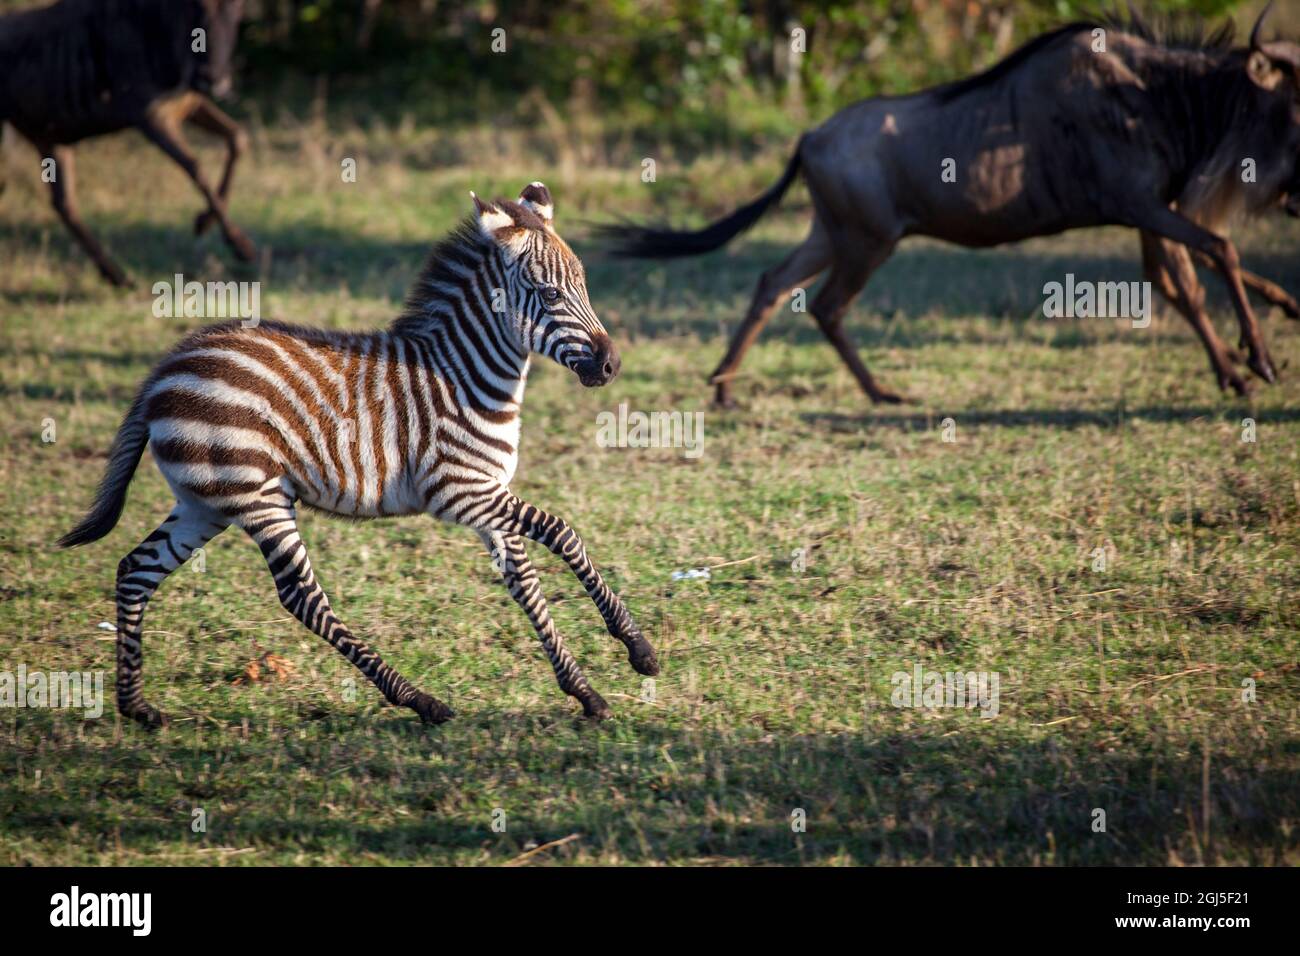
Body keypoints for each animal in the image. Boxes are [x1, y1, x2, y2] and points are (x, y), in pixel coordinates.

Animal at [59, 183, 660, 726]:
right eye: (552, 295)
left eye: (584, 286)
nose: (610, 366)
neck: (465, 374)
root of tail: (166, 366)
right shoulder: (459, 493)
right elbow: (564, 534)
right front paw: (636, 647)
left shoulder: (487, 494)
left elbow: (527, 585)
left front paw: (584, 692)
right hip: (257, 494)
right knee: (302, 597)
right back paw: (419, 700)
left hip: (205, 502)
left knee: (136, 570)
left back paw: (137, 707)